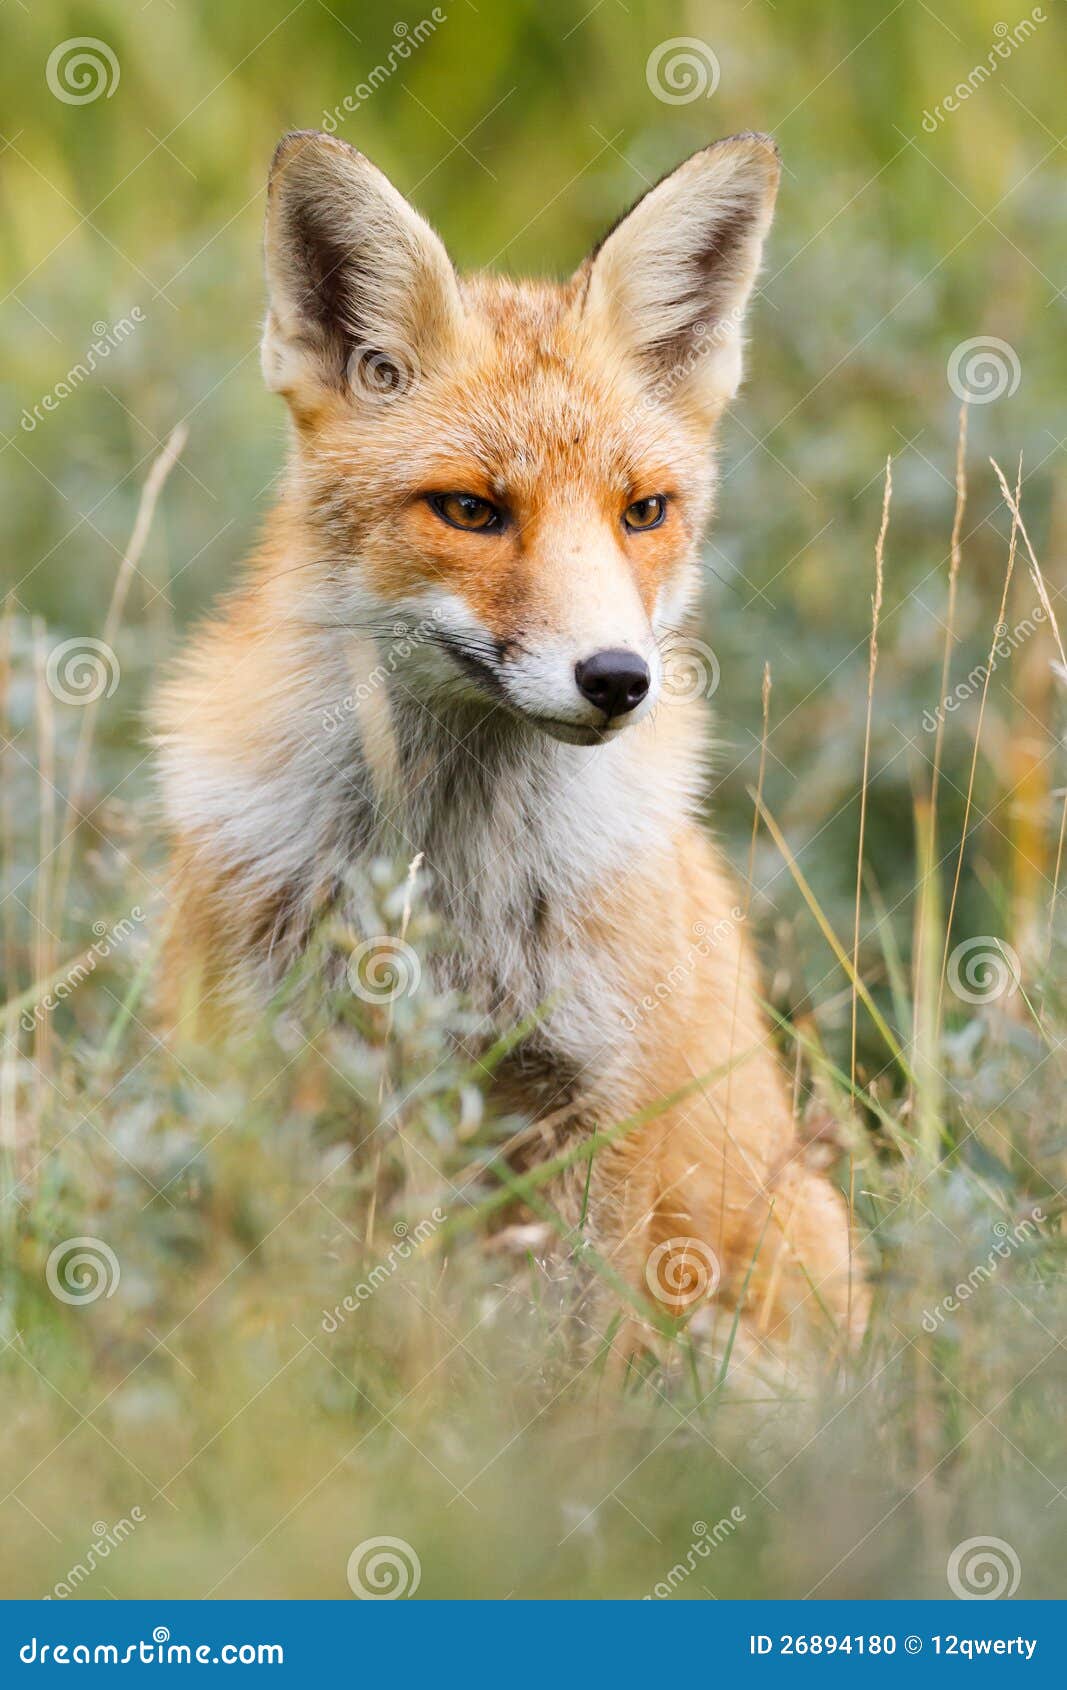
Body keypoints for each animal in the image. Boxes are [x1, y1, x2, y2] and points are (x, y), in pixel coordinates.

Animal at [154, 128, 868, 1369]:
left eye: (643, 512)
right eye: (470, 511)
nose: (616, 679)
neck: (453, 886)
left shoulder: (599, 1110)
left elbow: (572, 1373)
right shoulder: (269, 1083)